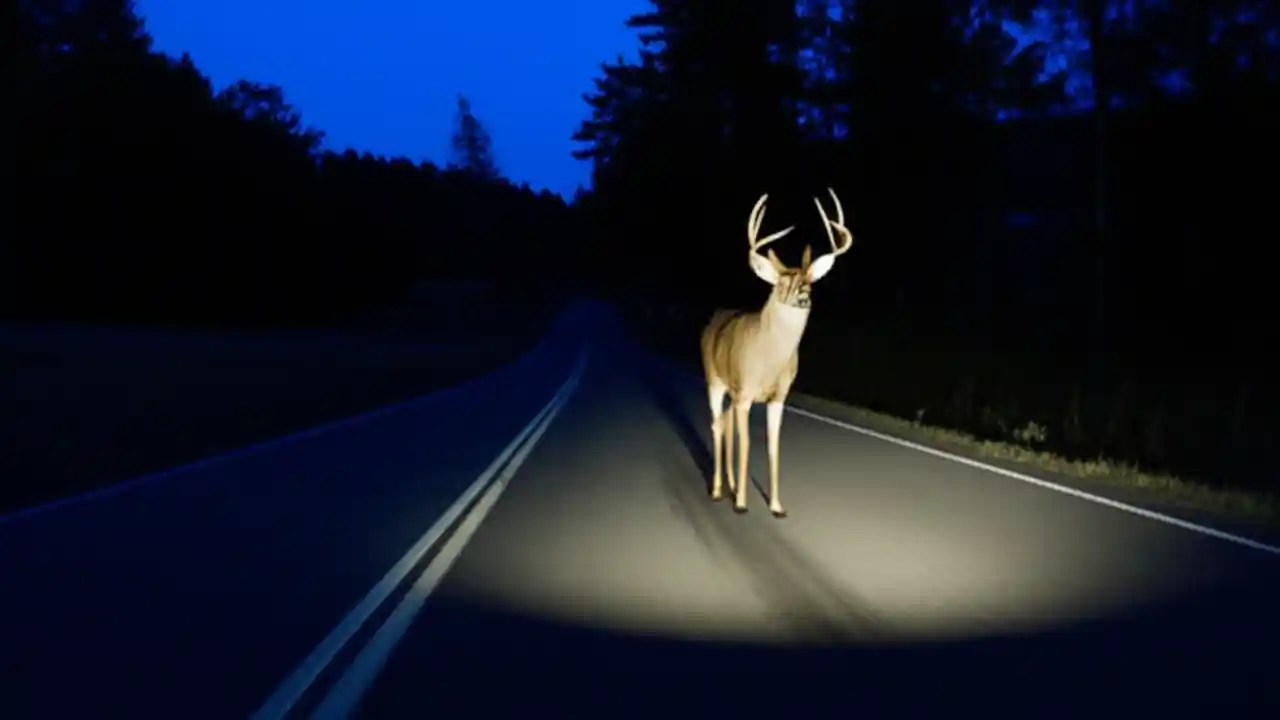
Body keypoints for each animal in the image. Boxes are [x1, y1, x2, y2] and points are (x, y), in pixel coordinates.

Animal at [699, 188, 854, 517]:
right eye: (783, 283)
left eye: (808, 283)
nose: (804, 297)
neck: (769, 360)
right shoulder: (745, 392)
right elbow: (746, 445)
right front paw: (741, 504)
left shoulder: (778, 397)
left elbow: (773, 447)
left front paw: (777, 506)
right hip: (714, 379)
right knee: (717, 424)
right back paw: (718, 490)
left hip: (731, 391)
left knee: (726, 422)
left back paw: (731, 485)